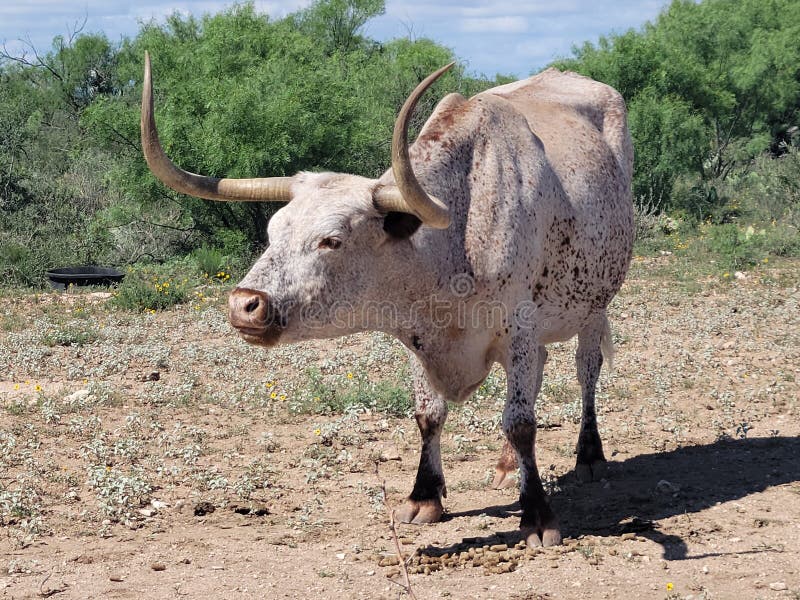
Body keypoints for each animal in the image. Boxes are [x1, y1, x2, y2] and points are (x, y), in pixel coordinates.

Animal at [140, 51, 633, 547]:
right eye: (272, 231)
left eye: (332, 241)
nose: (244, 303)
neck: (459, 234)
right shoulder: (419, 333)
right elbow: (429, 414)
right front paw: (424, 496)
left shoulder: (520, 330)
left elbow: (521, 422)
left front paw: (537, 514)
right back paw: (507, 466)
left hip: (596, 304)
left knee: (586, 370)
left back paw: (589, 455)